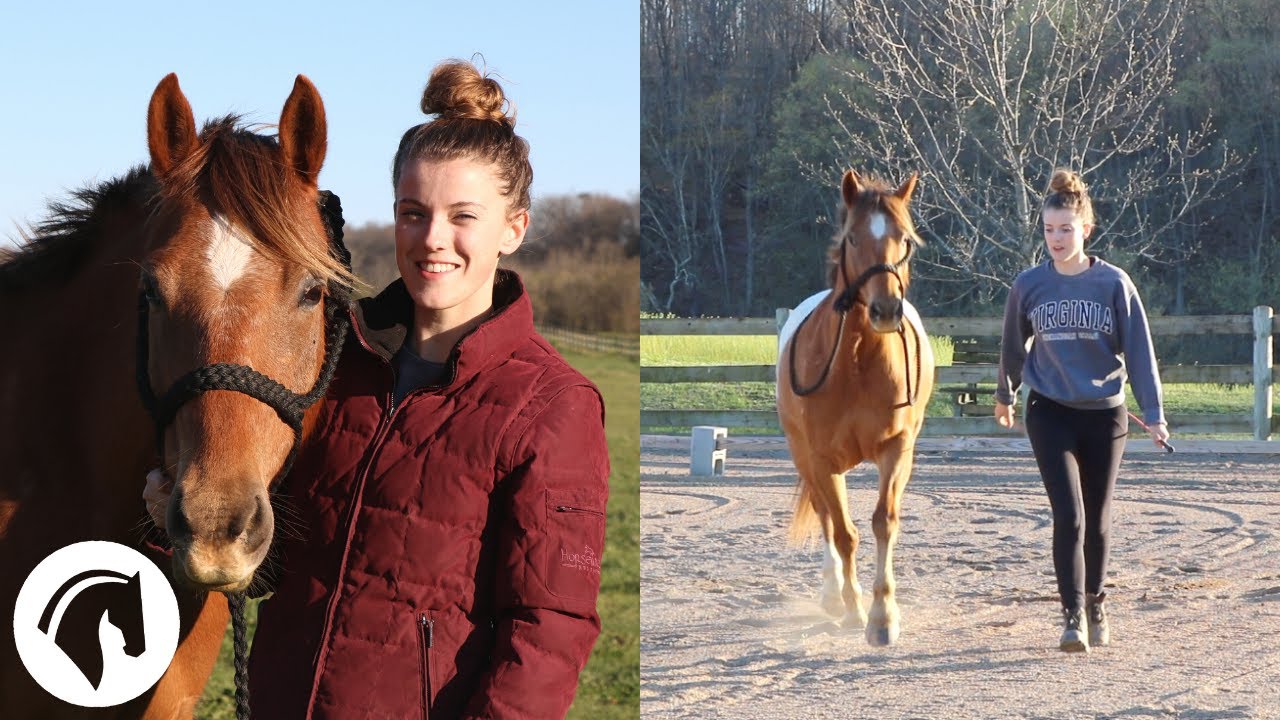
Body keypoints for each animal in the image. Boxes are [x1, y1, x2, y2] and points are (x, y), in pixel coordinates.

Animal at [776, 170, 935, 647]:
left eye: (905, 239)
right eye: (852, 238)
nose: (886, 310)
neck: (859, 361)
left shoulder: (897, 450)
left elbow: (884, 522)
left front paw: (883, 617)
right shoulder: (822, 458)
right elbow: (844, 534)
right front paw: (853, 609)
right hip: (805, 457)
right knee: (827, 519)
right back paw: (834, 595)